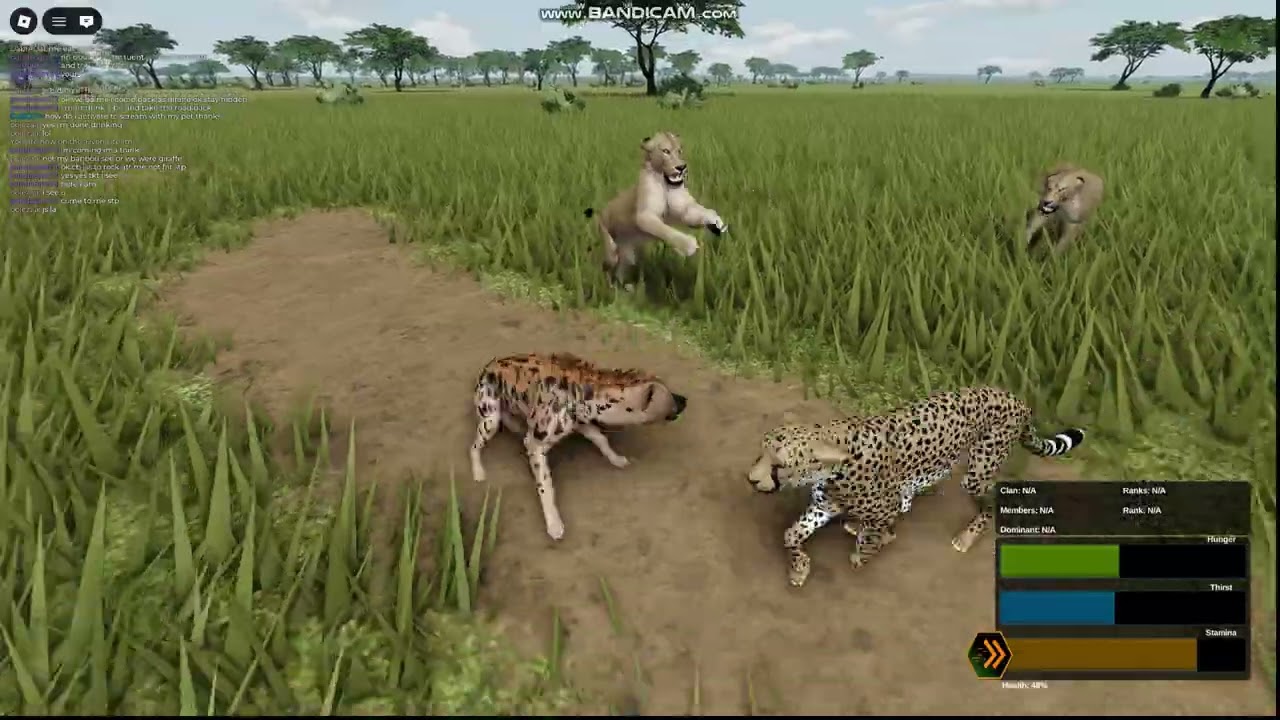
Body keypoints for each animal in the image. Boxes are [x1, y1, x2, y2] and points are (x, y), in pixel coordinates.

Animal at [583, 131, 729, 288]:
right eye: (666, 151)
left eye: (679, 151)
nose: (681, 167)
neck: (665, 184)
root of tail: (601, 213)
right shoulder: (644, 216)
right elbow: (665, 230)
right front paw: (688, 245)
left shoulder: (684, 209)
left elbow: (699, 212)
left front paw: (715, 221)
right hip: (610, 250)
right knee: (606, 267)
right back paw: (608, 286)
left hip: (628, 255)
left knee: (621, 269)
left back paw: (624, 287)